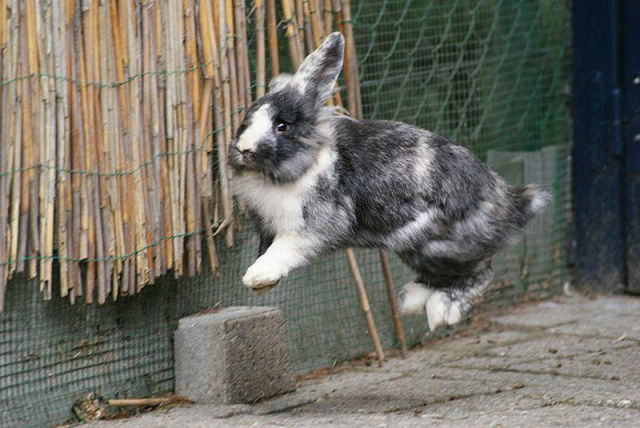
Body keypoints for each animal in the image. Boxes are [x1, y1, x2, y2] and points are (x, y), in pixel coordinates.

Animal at [228, 32, 551, 331]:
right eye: (245, 121)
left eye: (282, 126)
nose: (244, 149)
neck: (307, 161)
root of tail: (512, 201)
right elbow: (267, 248)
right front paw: (259, 285)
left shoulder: (312, 228)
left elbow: (282, 250)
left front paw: (256, 275)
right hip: (417, 249)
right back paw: (411, 301)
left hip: (439, 246)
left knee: (481, 273)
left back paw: (441, 311)